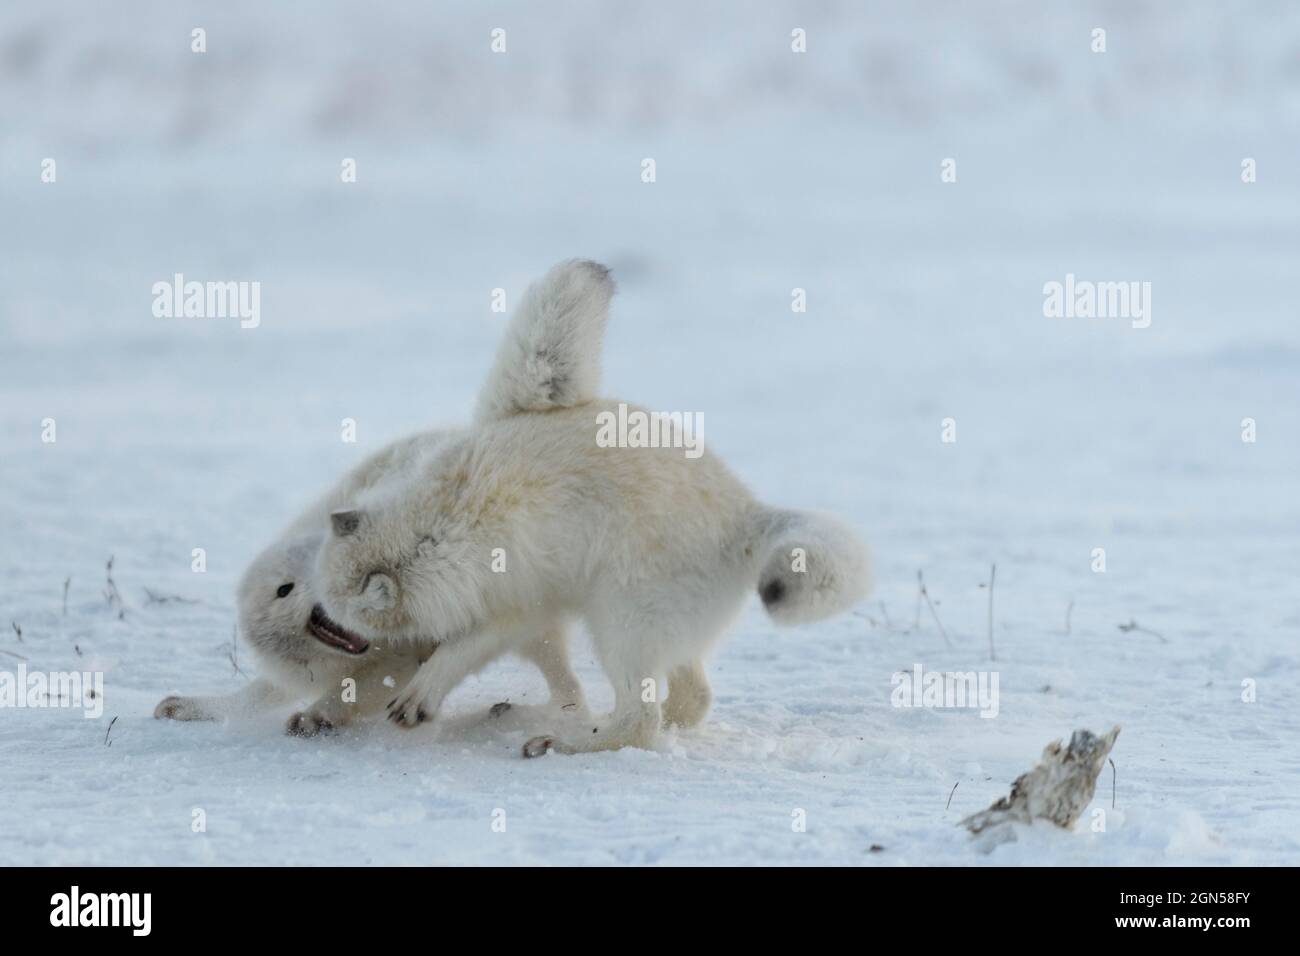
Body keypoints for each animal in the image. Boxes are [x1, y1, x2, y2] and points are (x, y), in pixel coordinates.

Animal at [315, 260, 871, 756]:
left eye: (342, 613)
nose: (315, 618)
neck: (427, 529)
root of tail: (748, 514)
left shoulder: (519, 604)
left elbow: (460, 650)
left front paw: (418, 696)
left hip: (620, 621)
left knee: (642, 718)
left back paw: (563, 743)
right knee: (690, 699)